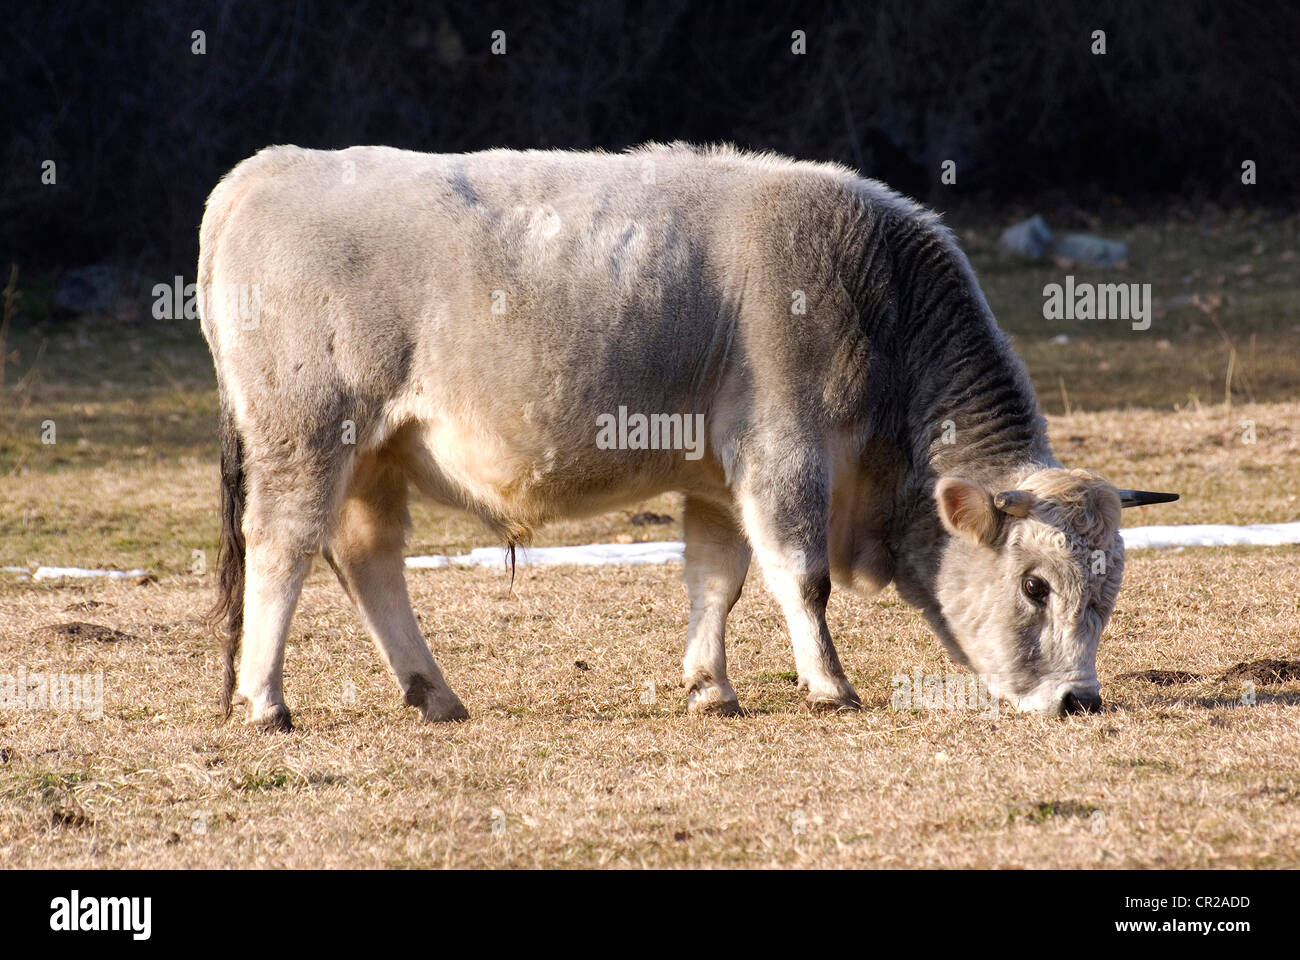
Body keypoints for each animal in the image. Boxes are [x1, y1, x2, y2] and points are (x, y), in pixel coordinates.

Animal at [198, 143, 1176, 730]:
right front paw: (829, 684)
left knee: (368, 561)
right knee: (284, 548)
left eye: (1110, 591)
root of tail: (268, 168)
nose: (1082, 700)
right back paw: (264, 700)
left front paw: (712, 686)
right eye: (1037, 585)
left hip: (374, 460)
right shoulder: (784, 453)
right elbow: (801, 574)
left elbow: (718, 578)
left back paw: (433, 693)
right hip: (308, 439)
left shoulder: (716, 478)